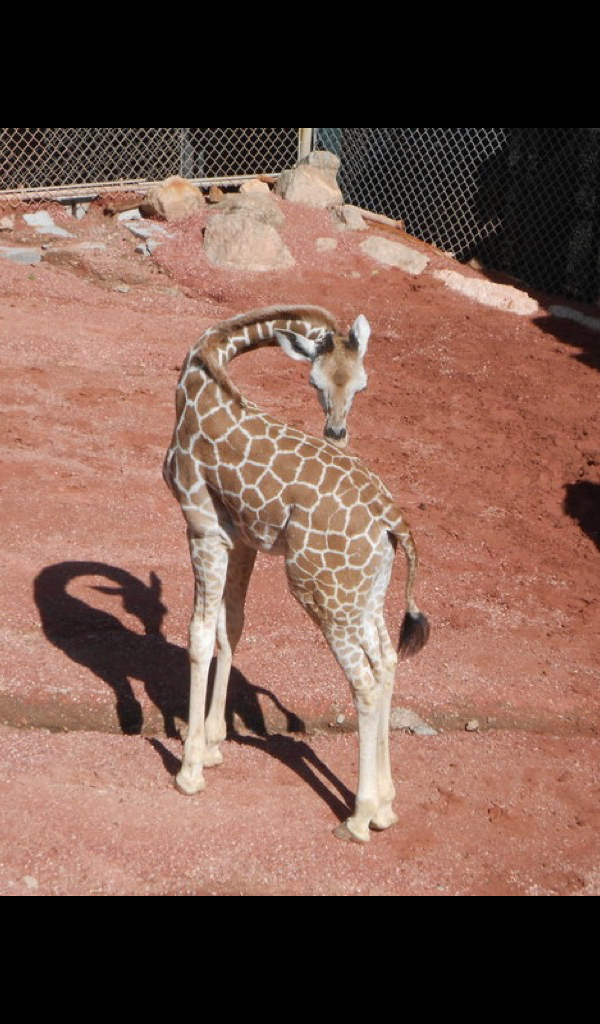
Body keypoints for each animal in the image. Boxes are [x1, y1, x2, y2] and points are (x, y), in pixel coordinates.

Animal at [163, 305, 429, 842]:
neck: (202, 373)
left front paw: (190, 770)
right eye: (315, 381)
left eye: (363, 385)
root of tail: (393, 521)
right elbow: (231, 627)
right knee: (388, 662)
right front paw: (215, 744)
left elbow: (198, 633)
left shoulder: (201, 525)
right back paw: (387, 806)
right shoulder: (241, 536)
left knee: (364, 682)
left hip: (322, 593)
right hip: (365, 593)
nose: (338, 431)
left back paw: (358, 817)